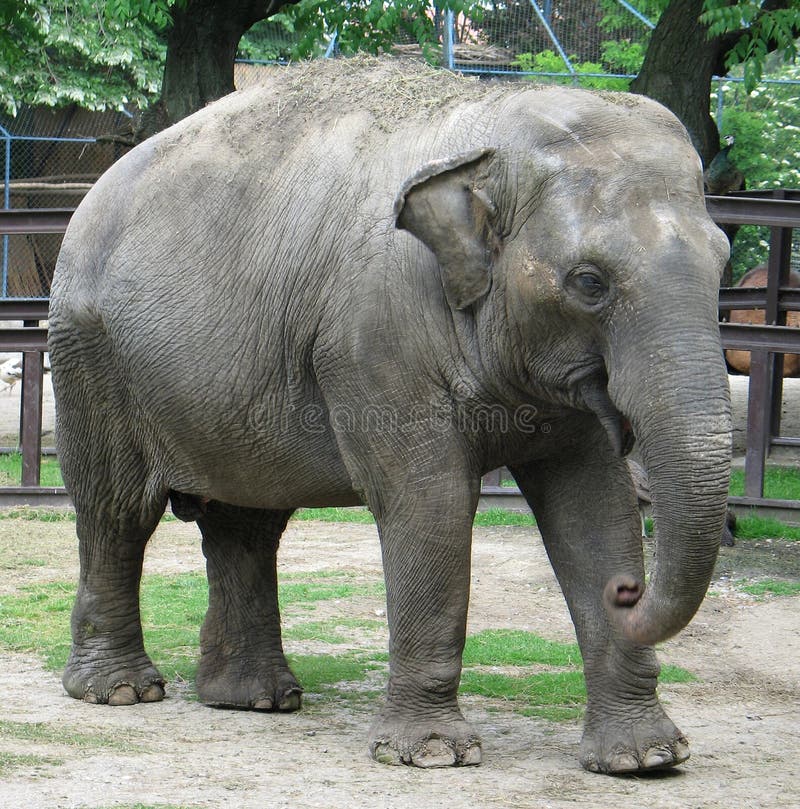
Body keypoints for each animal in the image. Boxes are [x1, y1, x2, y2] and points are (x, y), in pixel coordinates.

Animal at [48, 57, 732, 774]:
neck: (488, 132)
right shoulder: (373, 338)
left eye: (723, 262)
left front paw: (646, 758)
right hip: (90, 352)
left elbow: (593, 506)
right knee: (117, 511)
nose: (629, 591)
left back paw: (255, 698)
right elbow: (430, 502)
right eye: (589, 282)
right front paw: (431, 755)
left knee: (246, 523)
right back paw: (121, 691)